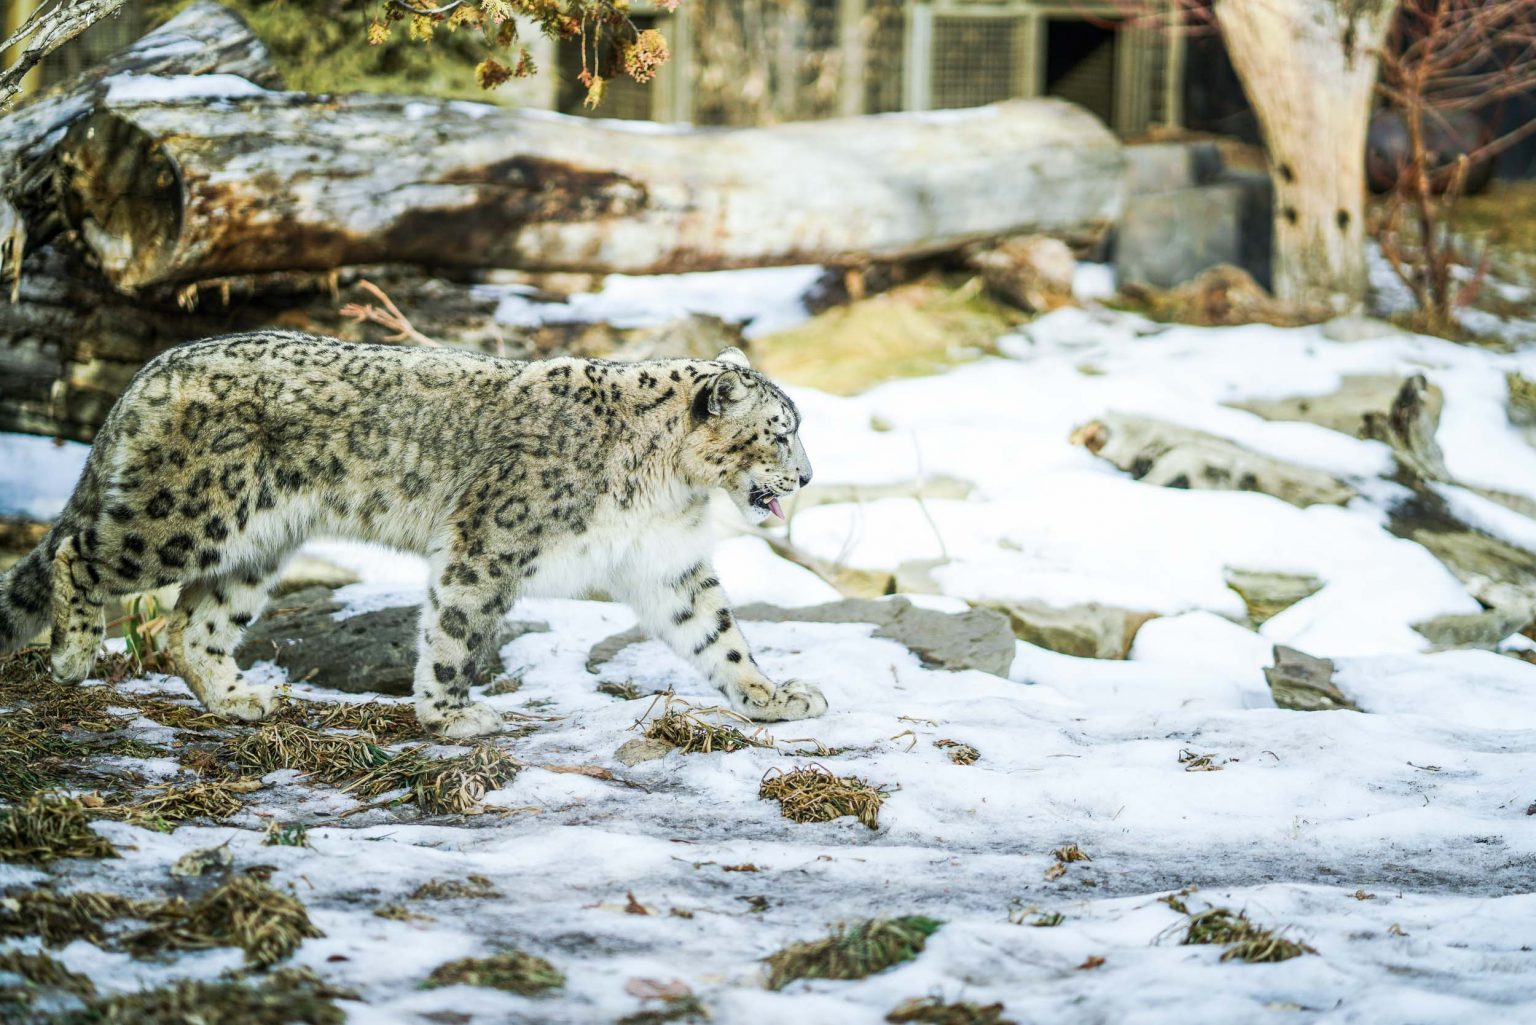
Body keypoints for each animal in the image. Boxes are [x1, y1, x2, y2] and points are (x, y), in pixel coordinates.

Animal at [0, 331, 826, 738]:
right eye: (780, 432)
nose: (809, 476)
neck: (668, 487)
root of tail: (151, 370)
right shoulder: (488, 541)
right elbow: (457, 631)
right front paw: (452, 716)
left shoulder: (666, 563)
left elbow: (718, 635)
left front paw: (774, 696)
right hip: (186, 515)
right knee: (77, 553)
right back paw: (72, 654)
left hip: (256, 547)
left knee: (190, 627)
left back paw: (241, 700)